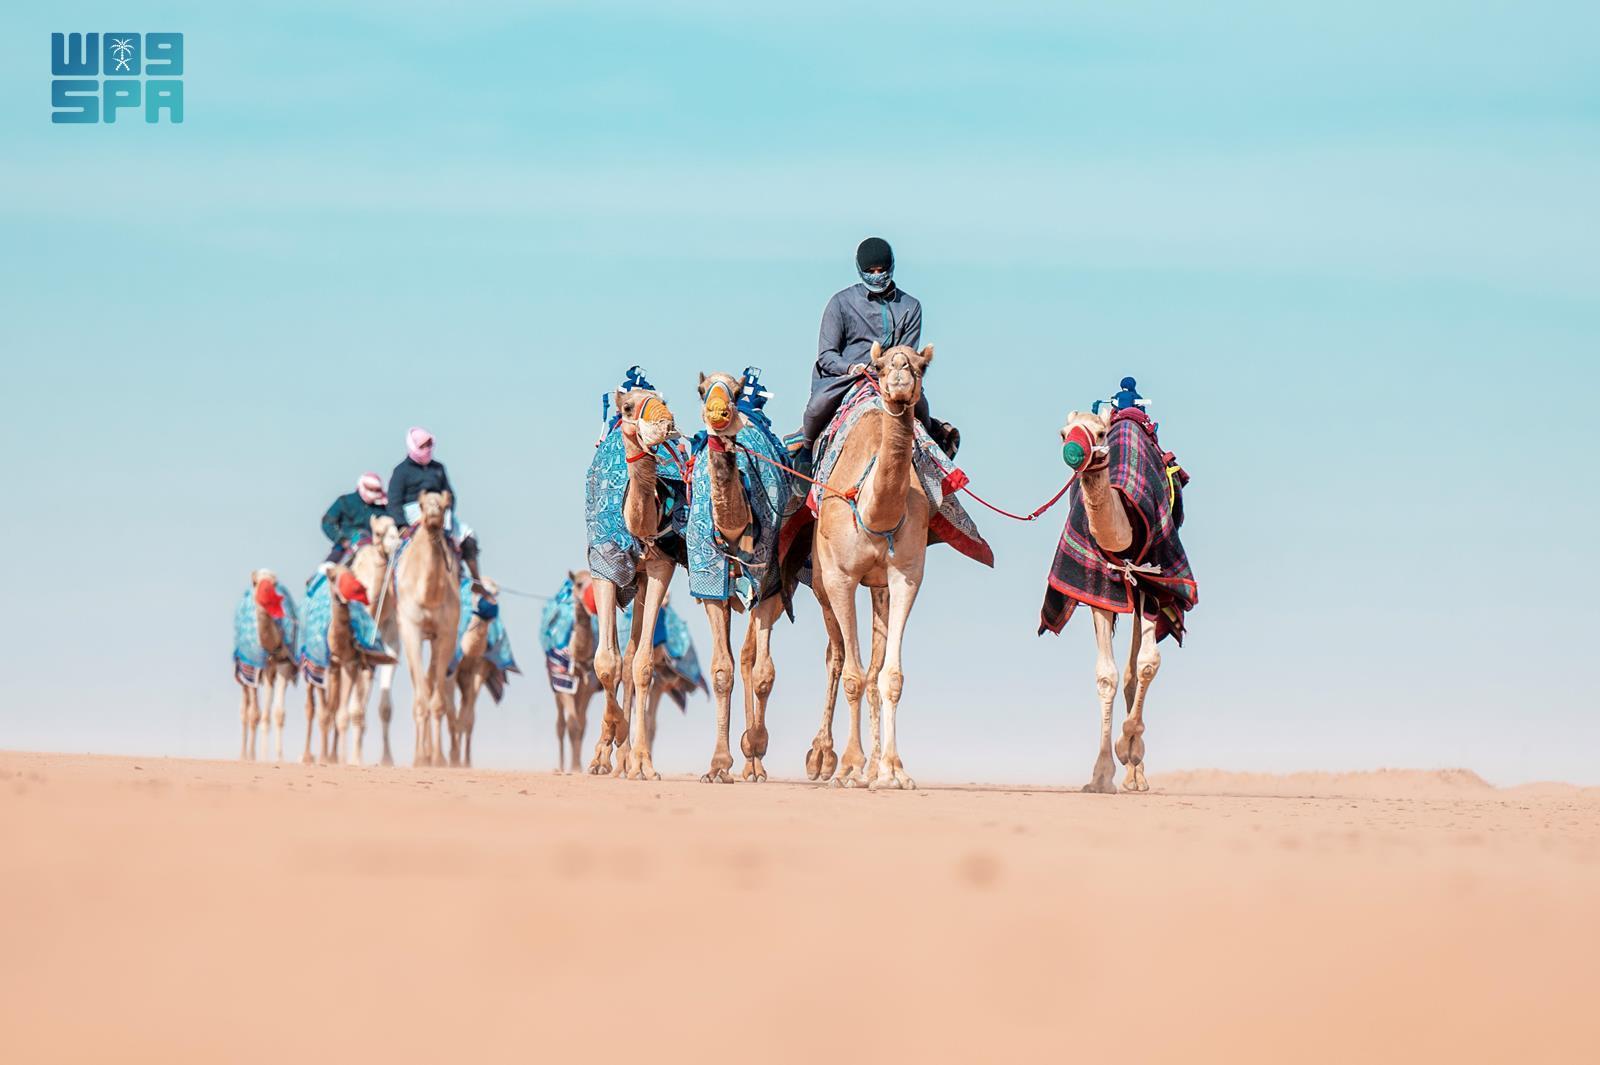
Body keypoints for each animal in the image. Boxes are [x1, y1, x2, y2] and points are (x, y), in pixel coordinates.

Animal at [235, 570, 297, 762]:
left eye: (274, 583)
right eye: (255, 582)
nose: (265, 593)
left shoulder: (283, 664)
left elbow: (277, 713)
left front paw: (279, 758)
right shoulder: (260, 670)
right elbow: (261, 715)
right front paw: (262, 757)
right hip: (245, 675)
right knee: (247, 712)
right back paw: (245, 755)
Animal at [807, 343, 936, 790]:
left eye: (921, 366)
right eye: (878, 366)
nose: (899, 376)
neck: (874, 512)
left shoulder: (905, 577)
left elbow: (888, 676)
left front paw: (893, 770)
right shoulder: (840, 578)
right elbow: (852, 675)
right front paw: (848, 766)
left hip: (878, 588)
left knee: (874, 668)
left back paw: (875, 765)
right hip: (821, 584)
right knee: (835, 656)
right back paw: (822, 758)